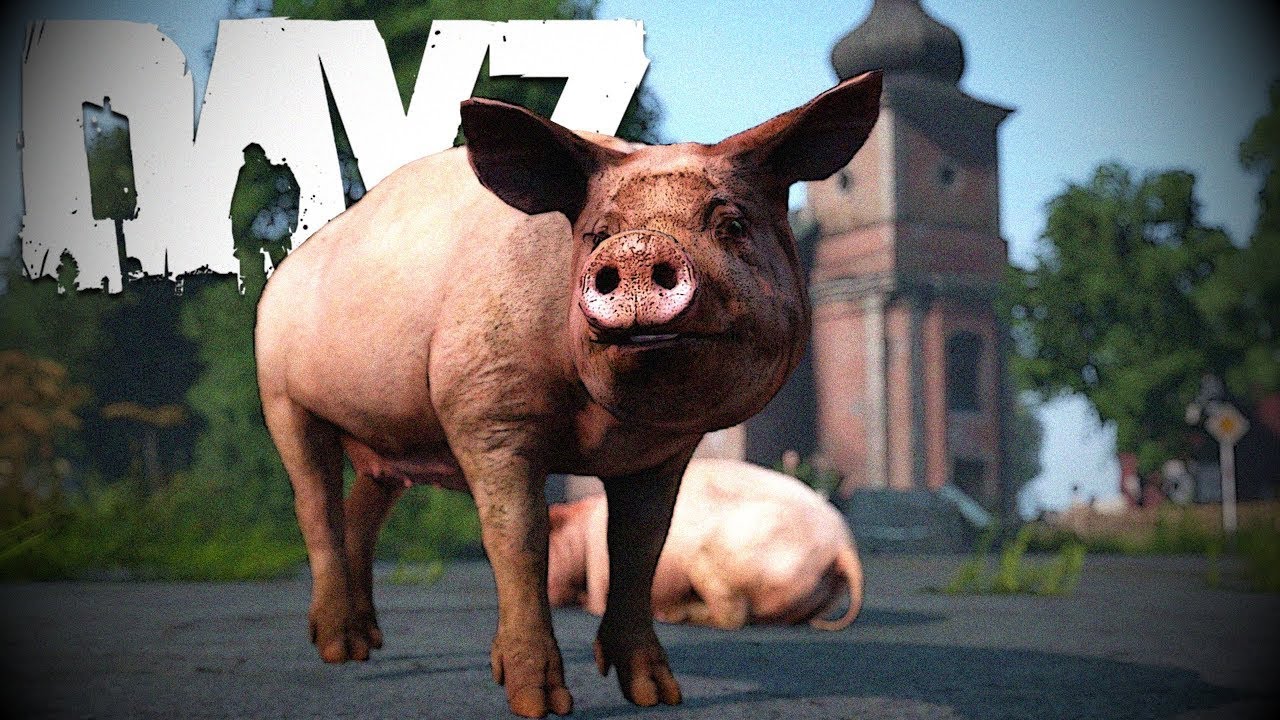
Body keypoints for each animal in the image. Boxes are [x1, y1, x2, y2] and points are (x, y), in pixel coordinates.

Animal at [547, 459, 863, 631]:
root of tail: (841, 545)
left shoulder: (602, 564)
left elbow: (597, 604)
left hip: (730, 555)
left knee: (733, 615)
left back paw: (676, 616)